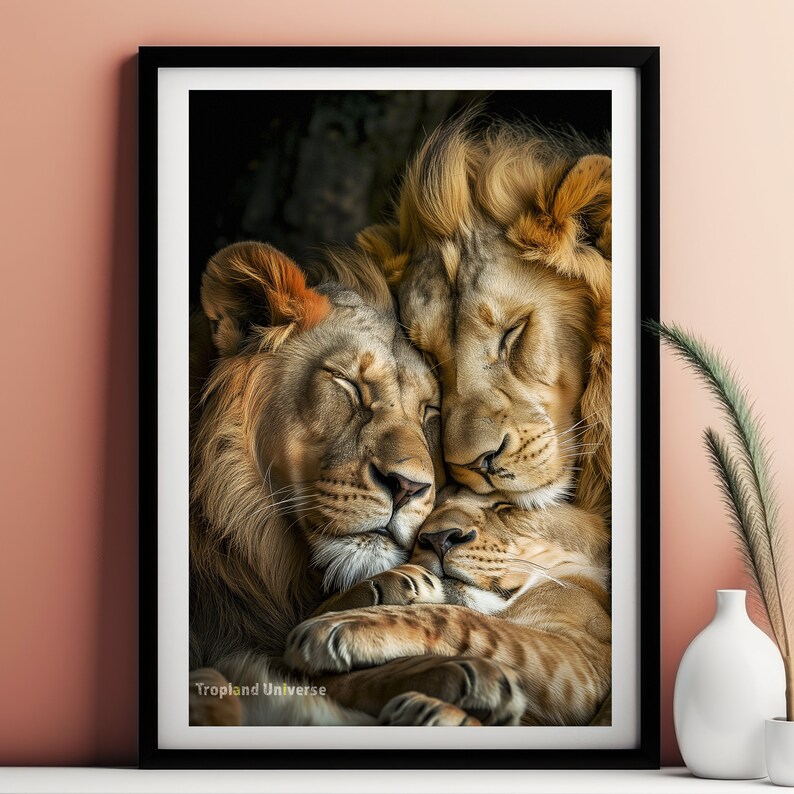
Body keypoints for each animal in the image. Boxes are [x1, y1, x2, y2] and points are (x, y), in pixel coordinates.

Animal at [285, 485, 611, 726]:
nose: (439, 539)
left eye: (506, 506)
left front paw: (339, 628)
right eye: (431, 508)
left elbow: (465, 618)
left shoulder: (584, 663)